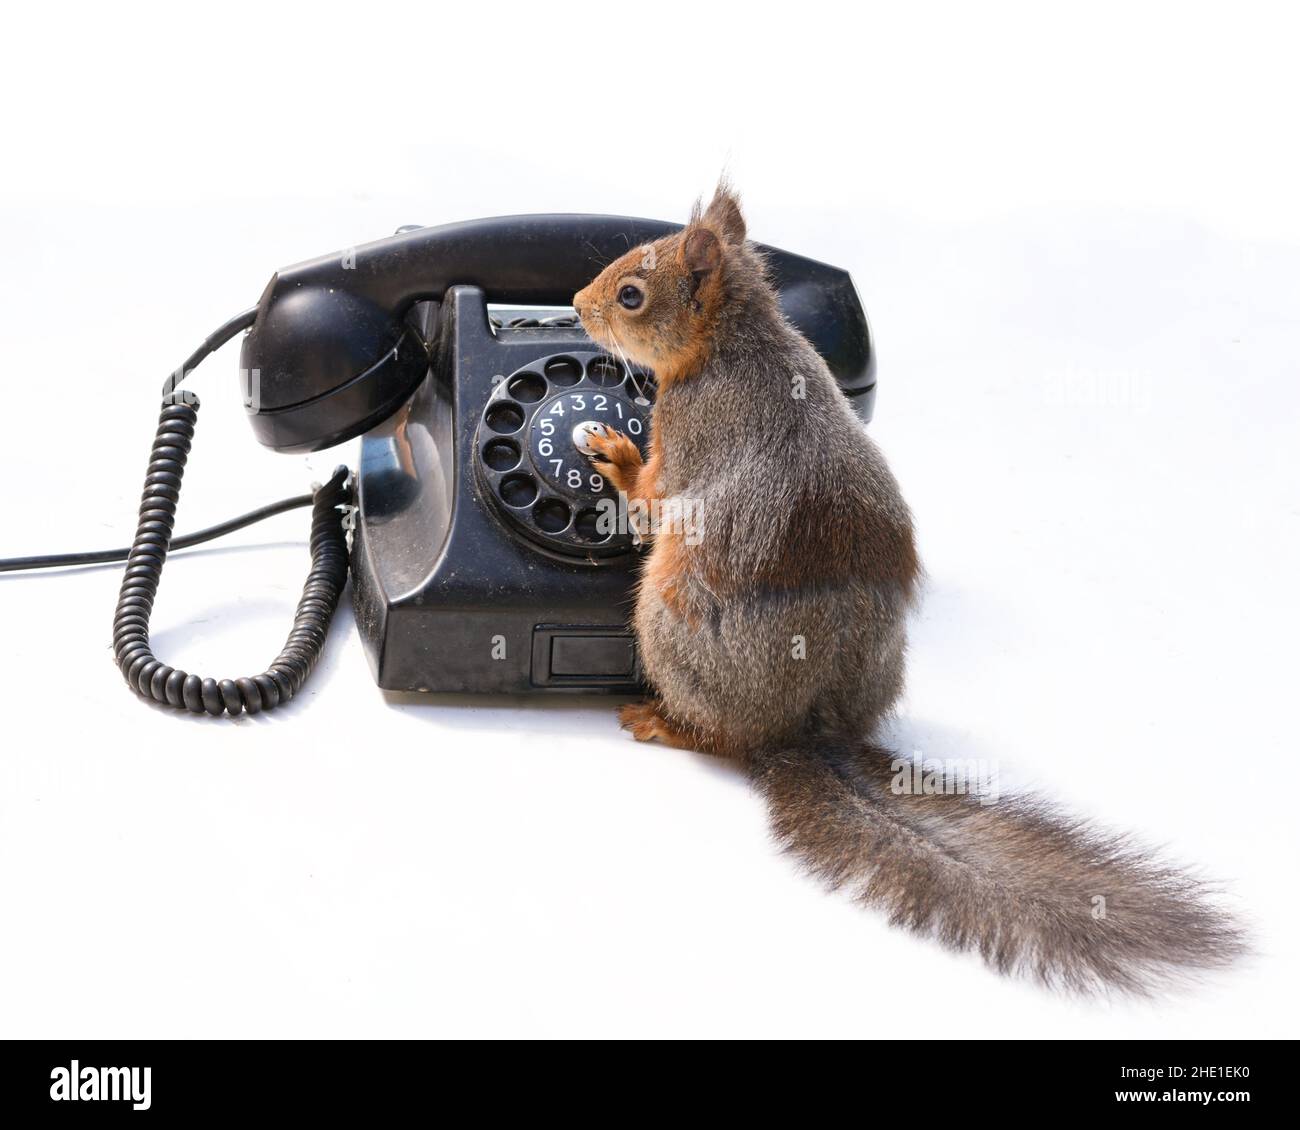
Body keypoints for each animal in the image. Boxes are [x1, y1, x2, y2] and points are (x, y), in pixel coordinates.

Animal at [571, 183, 1244, 993]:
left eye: (631, 295)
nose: (573, 305)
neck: (734, 343)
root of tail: (797, 729)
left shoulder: (691, 436)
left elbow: (651, 500)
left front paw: (612, 451)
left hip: (666, 626)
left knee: (717, 735)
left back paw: (663, 722)